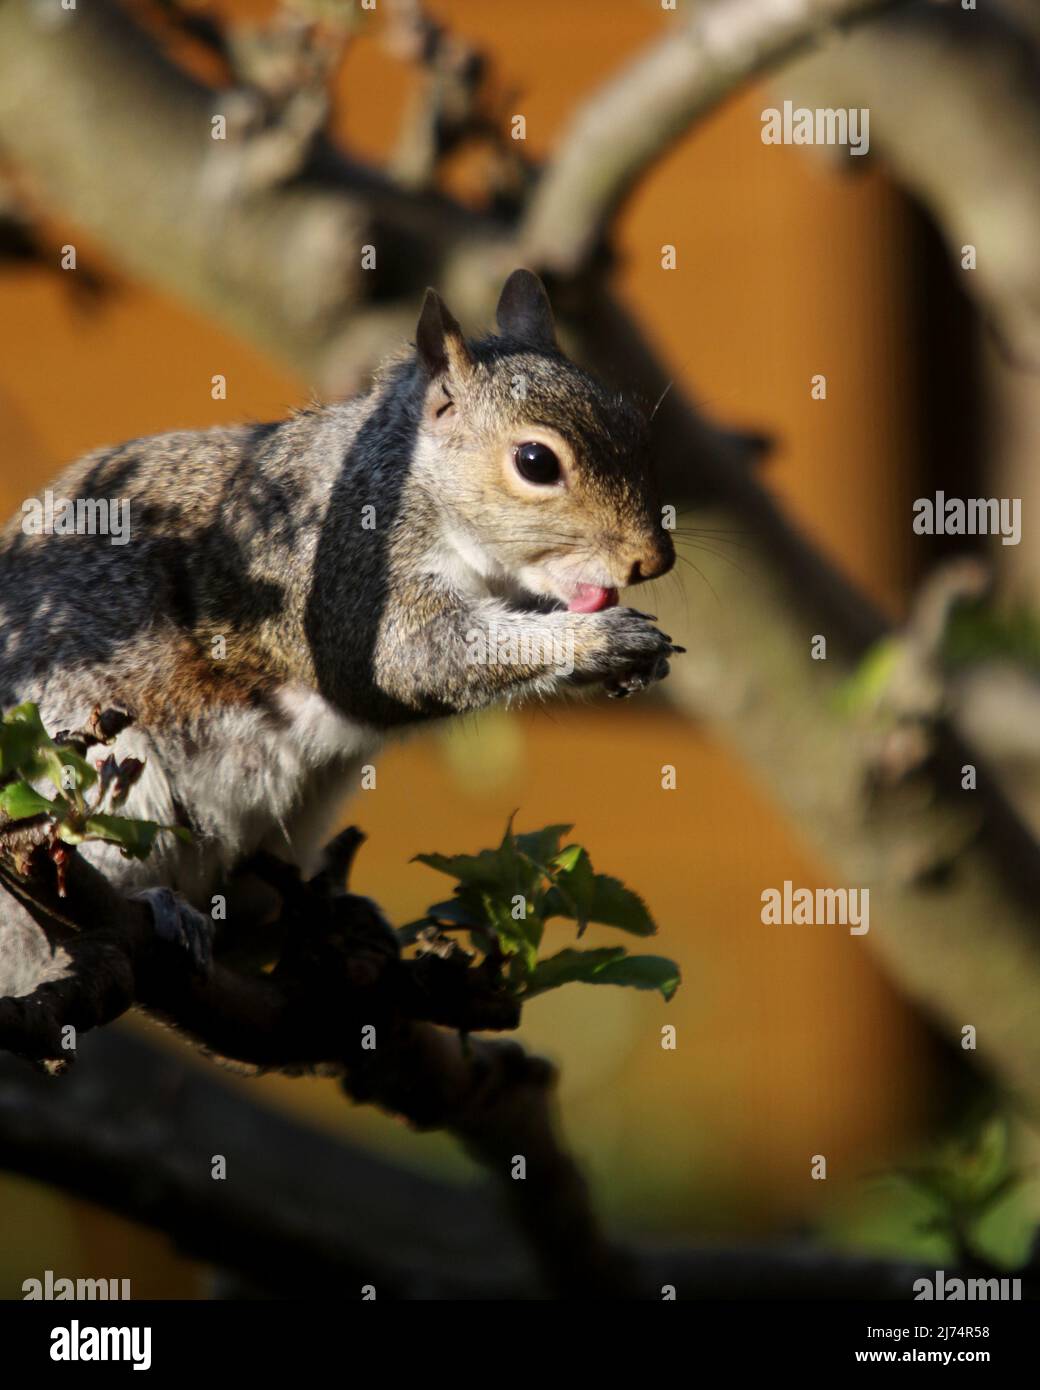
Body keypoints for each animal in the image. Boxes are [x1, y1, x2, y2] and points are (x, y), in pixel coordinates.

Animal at [0, 269, 678, 996]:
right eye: (535, 461)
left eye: (636, 426)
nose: (652, 560)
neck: (406, 480)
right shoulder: (345, 578)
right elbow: (406, 661)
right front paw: (599, 643)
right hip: (93, 776)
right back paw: (155, 908)